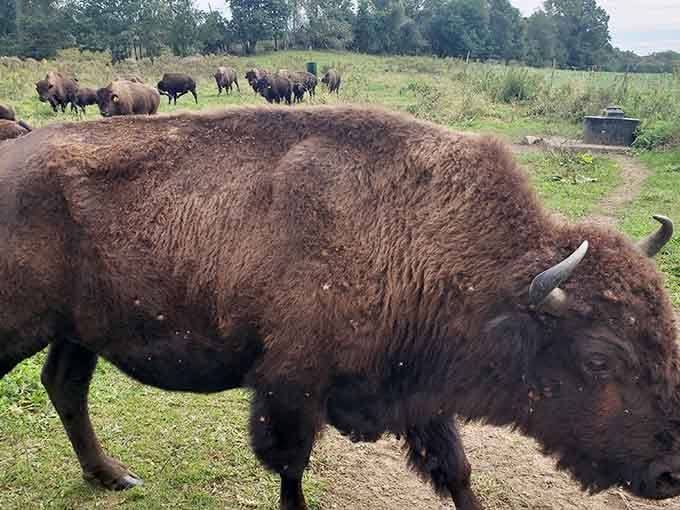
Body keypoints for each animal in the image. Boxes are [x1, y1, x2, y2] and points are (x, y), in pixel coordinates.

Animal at [0, 106, 679, 510]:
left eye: (666, 332)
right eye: (599, 359)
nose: (671, 473)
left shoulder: (421, 395)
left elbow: (456, 470)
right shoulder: (291, 386)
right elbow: (291, 467)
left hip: (78, 331)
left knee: (65, 385)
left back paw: (113, 476)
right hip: (24, 325)